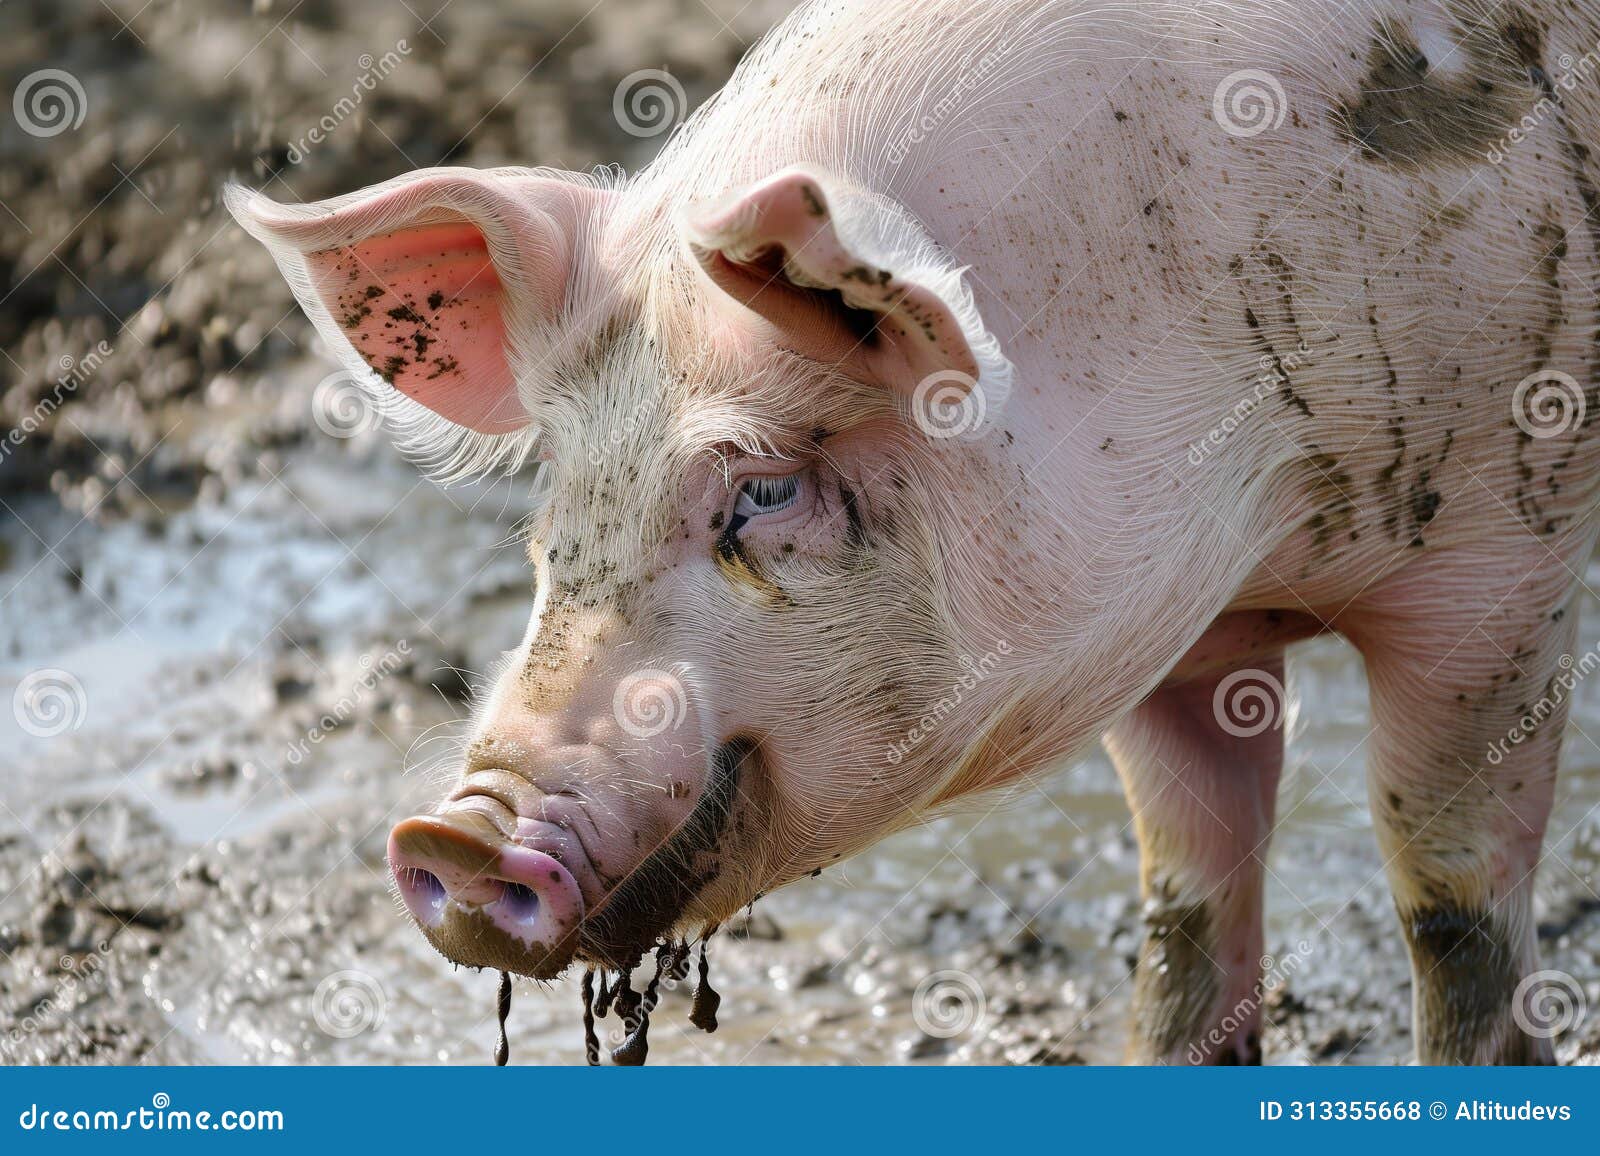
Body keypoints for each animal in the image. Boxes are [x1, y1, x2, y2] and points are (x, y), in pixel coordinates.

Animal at [227, 0, 1600, 1065]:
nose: (456, 832)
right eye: (568, 489)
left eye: (764, 493)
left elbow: (1449, 896)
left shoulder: (1504, 553)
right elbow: (1186, 897)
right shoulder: (1170, 633)